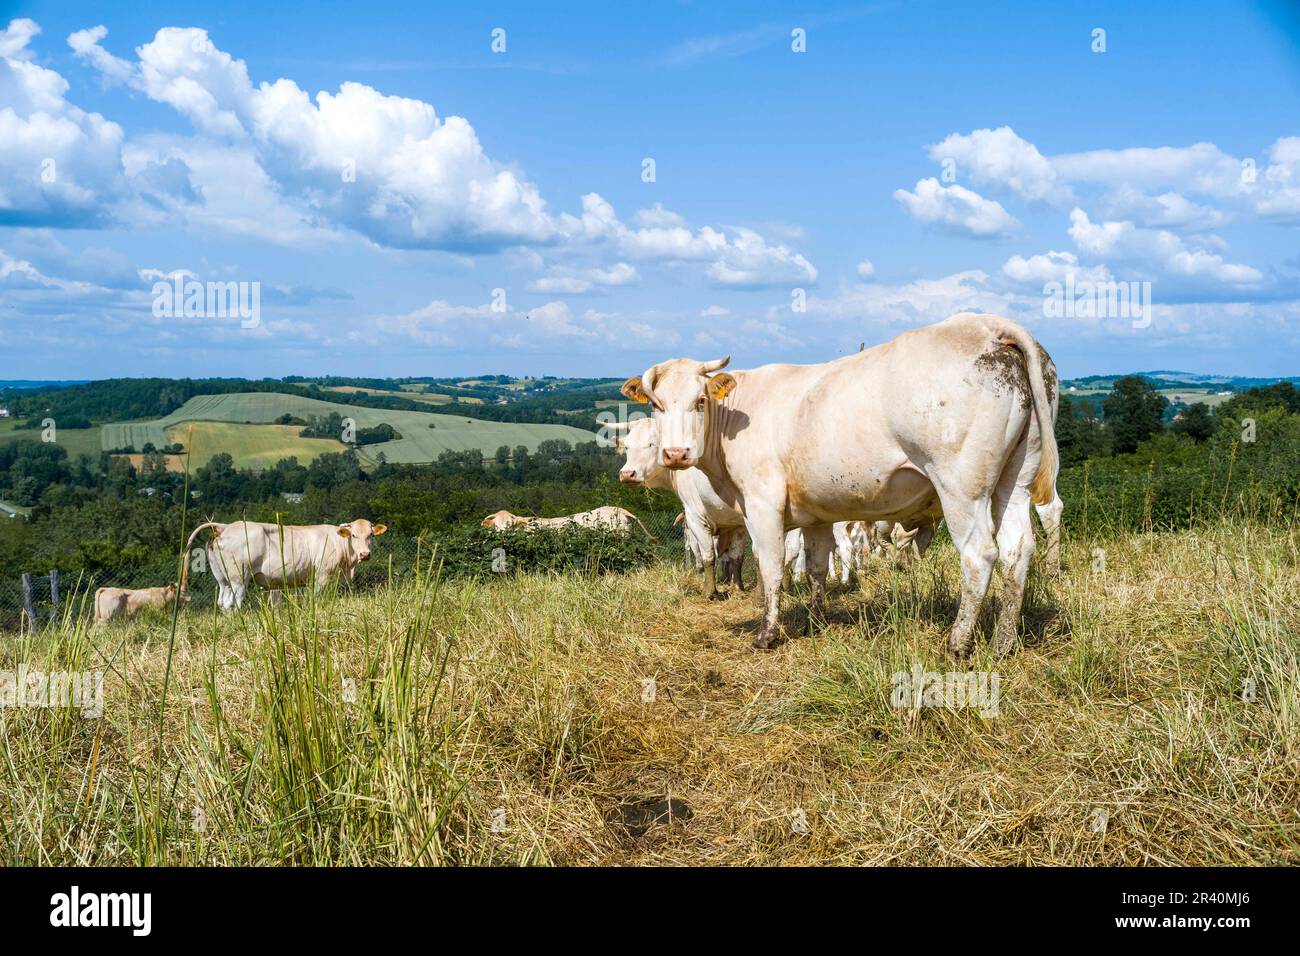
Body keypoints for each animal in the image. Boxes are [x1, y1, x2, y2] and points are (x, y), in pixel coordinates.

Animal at [181, 518, 386, 610]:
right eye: (354, 535)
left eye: (371, 535)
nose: (365, 554)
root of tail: (225, 526)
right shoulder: (322, 577)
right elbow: (318, 599)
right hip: (239, 578)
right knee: (235, 602)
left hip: (223, 579)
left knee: (223, 603)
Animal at [610, 417, 747, 598]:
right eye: (627, 446)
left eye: (652, 444)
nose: (627, 474)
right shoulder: (737, 523)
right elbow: (736, 557)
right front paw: (738, 589)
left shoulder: (696, 517)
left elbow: (708, 557)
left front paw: (709, 592)